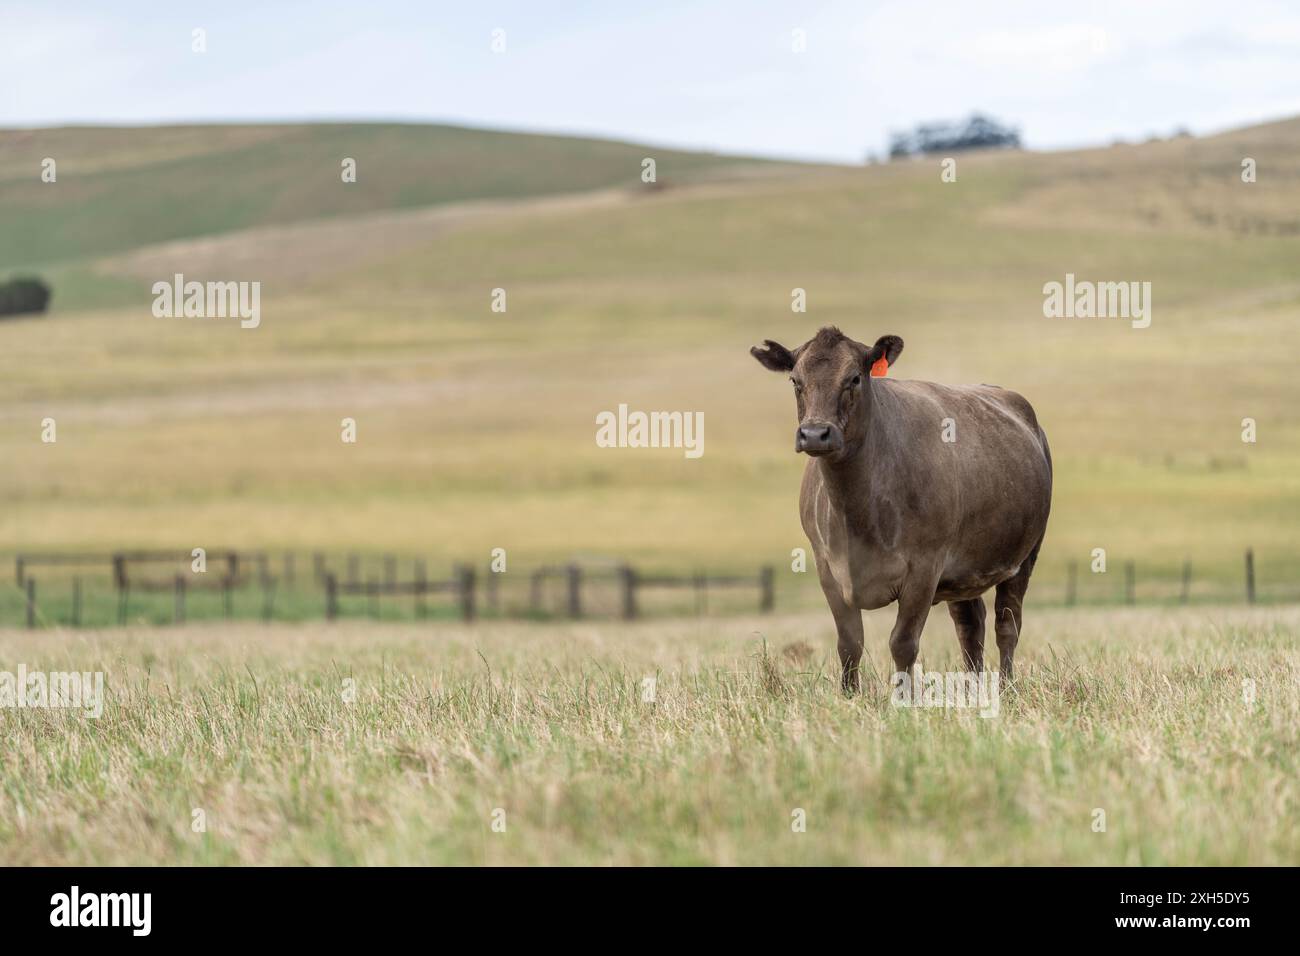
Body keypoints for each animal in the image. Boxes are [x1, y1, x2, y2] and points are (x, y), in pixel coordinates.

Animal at [751, 327, 1052, 693]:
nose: (814, 433)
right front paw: (849, 696)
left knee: (1007, 623)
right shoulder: (827, 568)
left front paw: (903, 698)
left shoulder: (924, 566)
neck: (855, 513)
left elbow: (902, 642)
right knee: (970, 626)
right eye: (795, 380)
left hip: (1024, 555)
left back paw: (1006, 688)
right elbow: (849, 643)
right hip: (963, 570)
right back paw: (972, 690)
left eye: (854, 378)